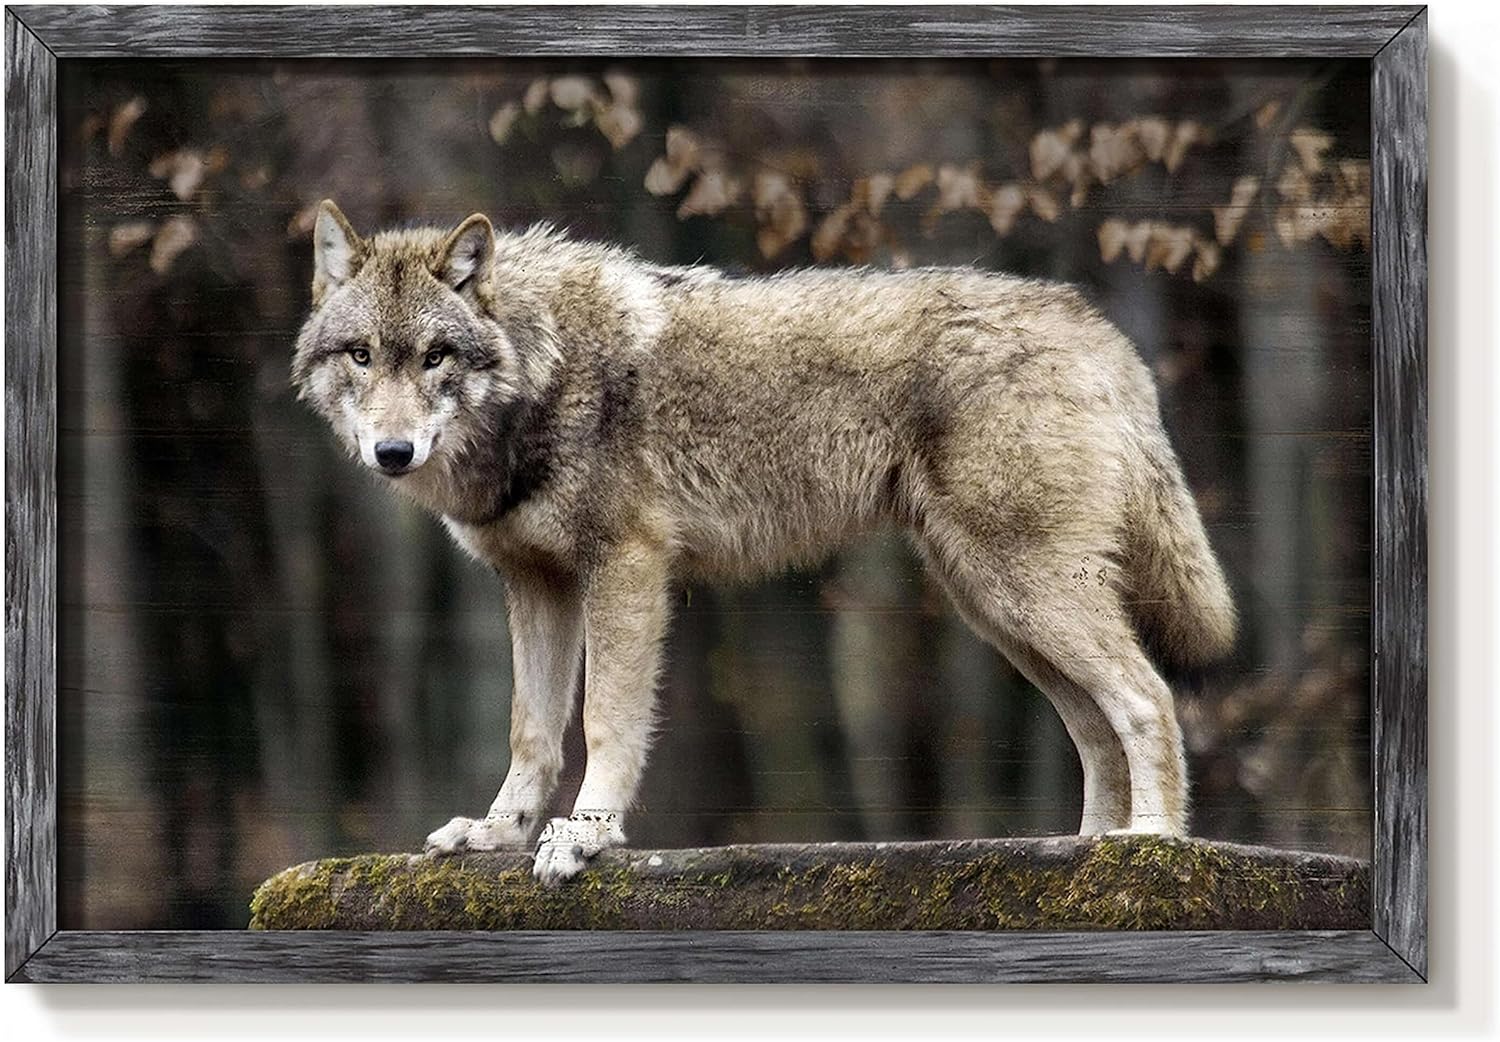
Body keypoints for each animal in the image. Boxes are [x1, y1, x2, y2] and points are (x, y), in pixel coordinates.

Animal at [292, 200, 1236, 886]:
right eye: (363, 356)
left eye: (437, 356)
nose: (392, 452)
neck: (544, 368)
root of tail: (1100, 330)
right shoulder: (536, 585)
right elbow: (531, 730)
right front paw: (497, 834)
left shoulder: (625, 569)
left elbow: (604, 723)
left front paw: (585, 837)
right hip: (997, 608)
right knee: (1096, 726)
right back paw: (1086, 853)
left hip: (1022, 594)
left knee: (1148, 698)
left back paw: (1152, 846)